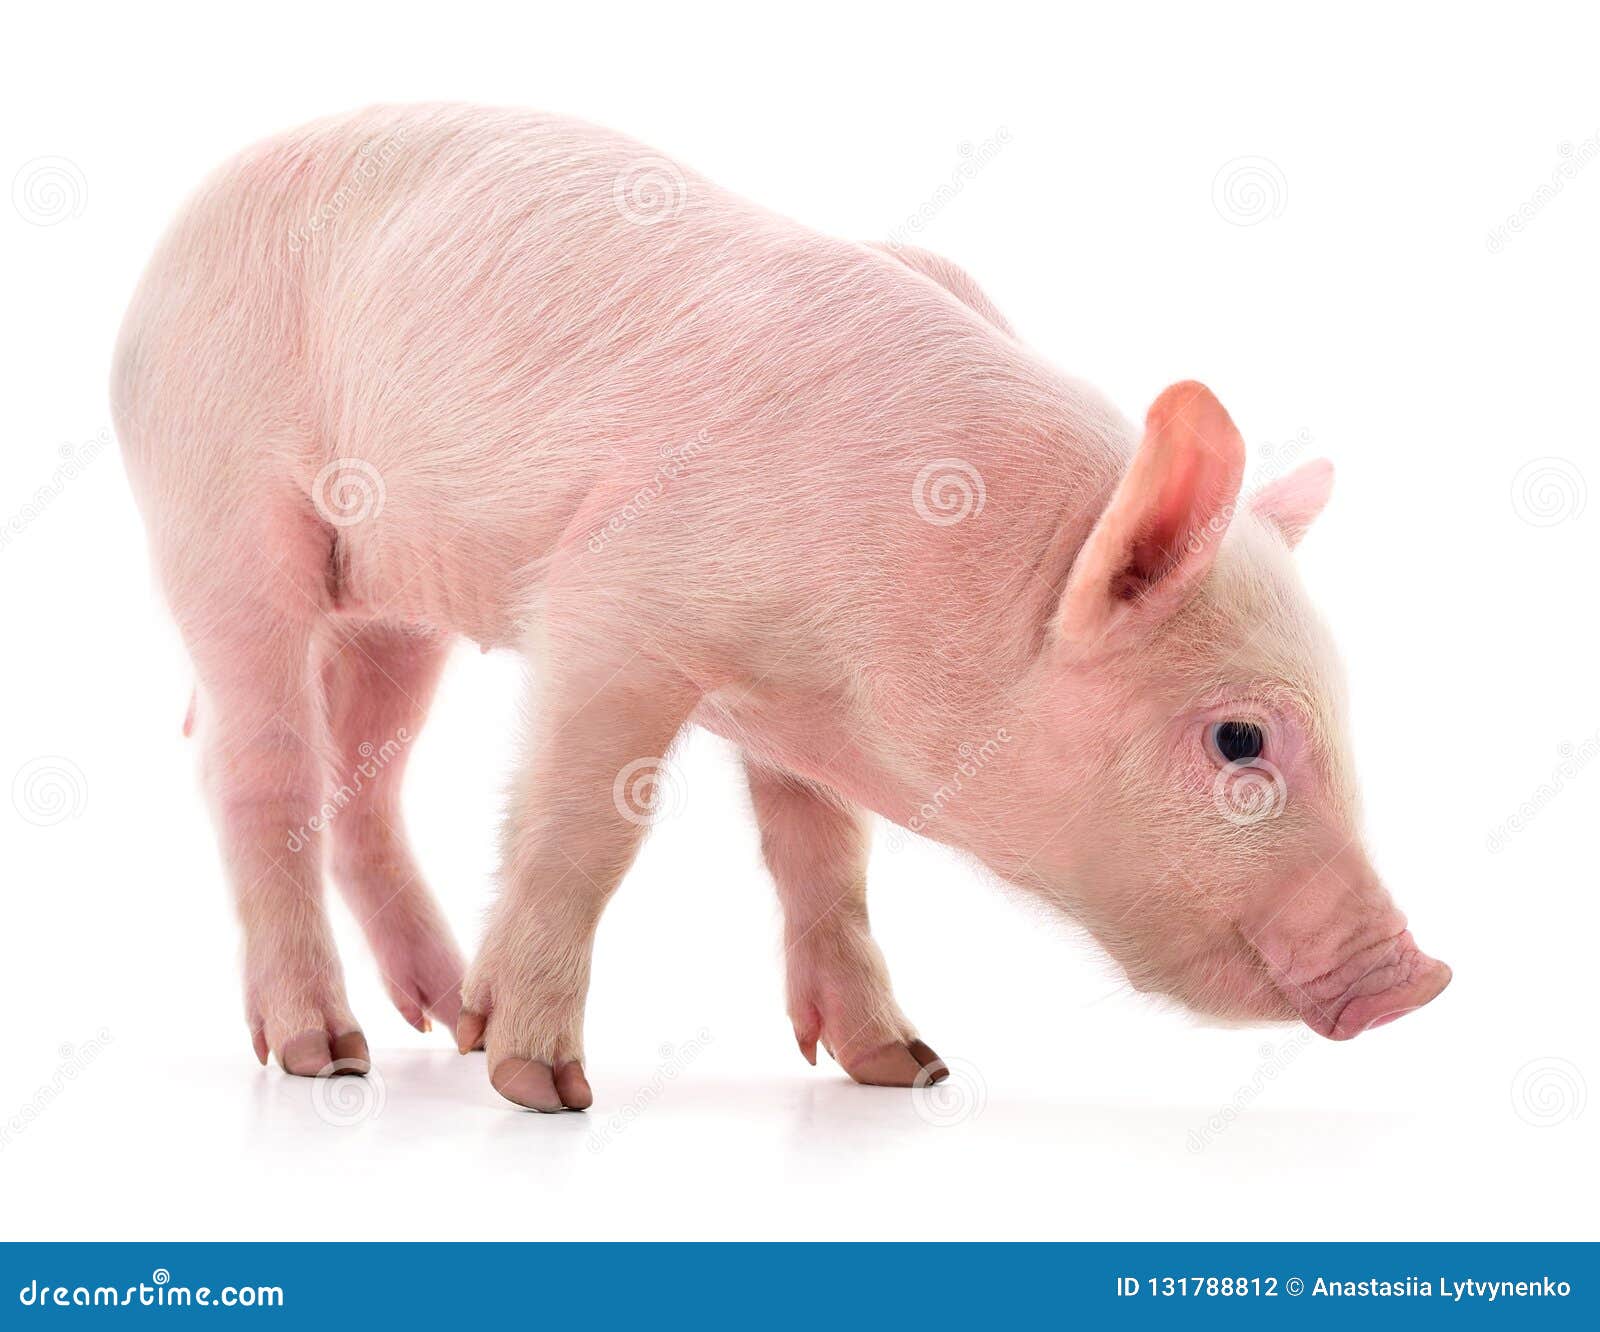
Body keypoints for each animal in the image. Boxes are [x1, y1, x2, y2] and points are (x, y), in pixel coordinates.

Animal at [112, 104, 1449, 1112]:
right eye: (1238, 737)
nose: (1419, 979)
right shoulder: (610, 606)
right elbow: (583, 832)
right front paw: (539, 1083)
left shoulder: (793, 713)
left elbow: (826, 861)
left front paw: (907, 1069)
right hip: (220, 513)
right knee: (258, 767)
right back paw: (326, 1055)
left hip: (394, 603)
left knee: (363, 782)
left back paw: (436, 1020)